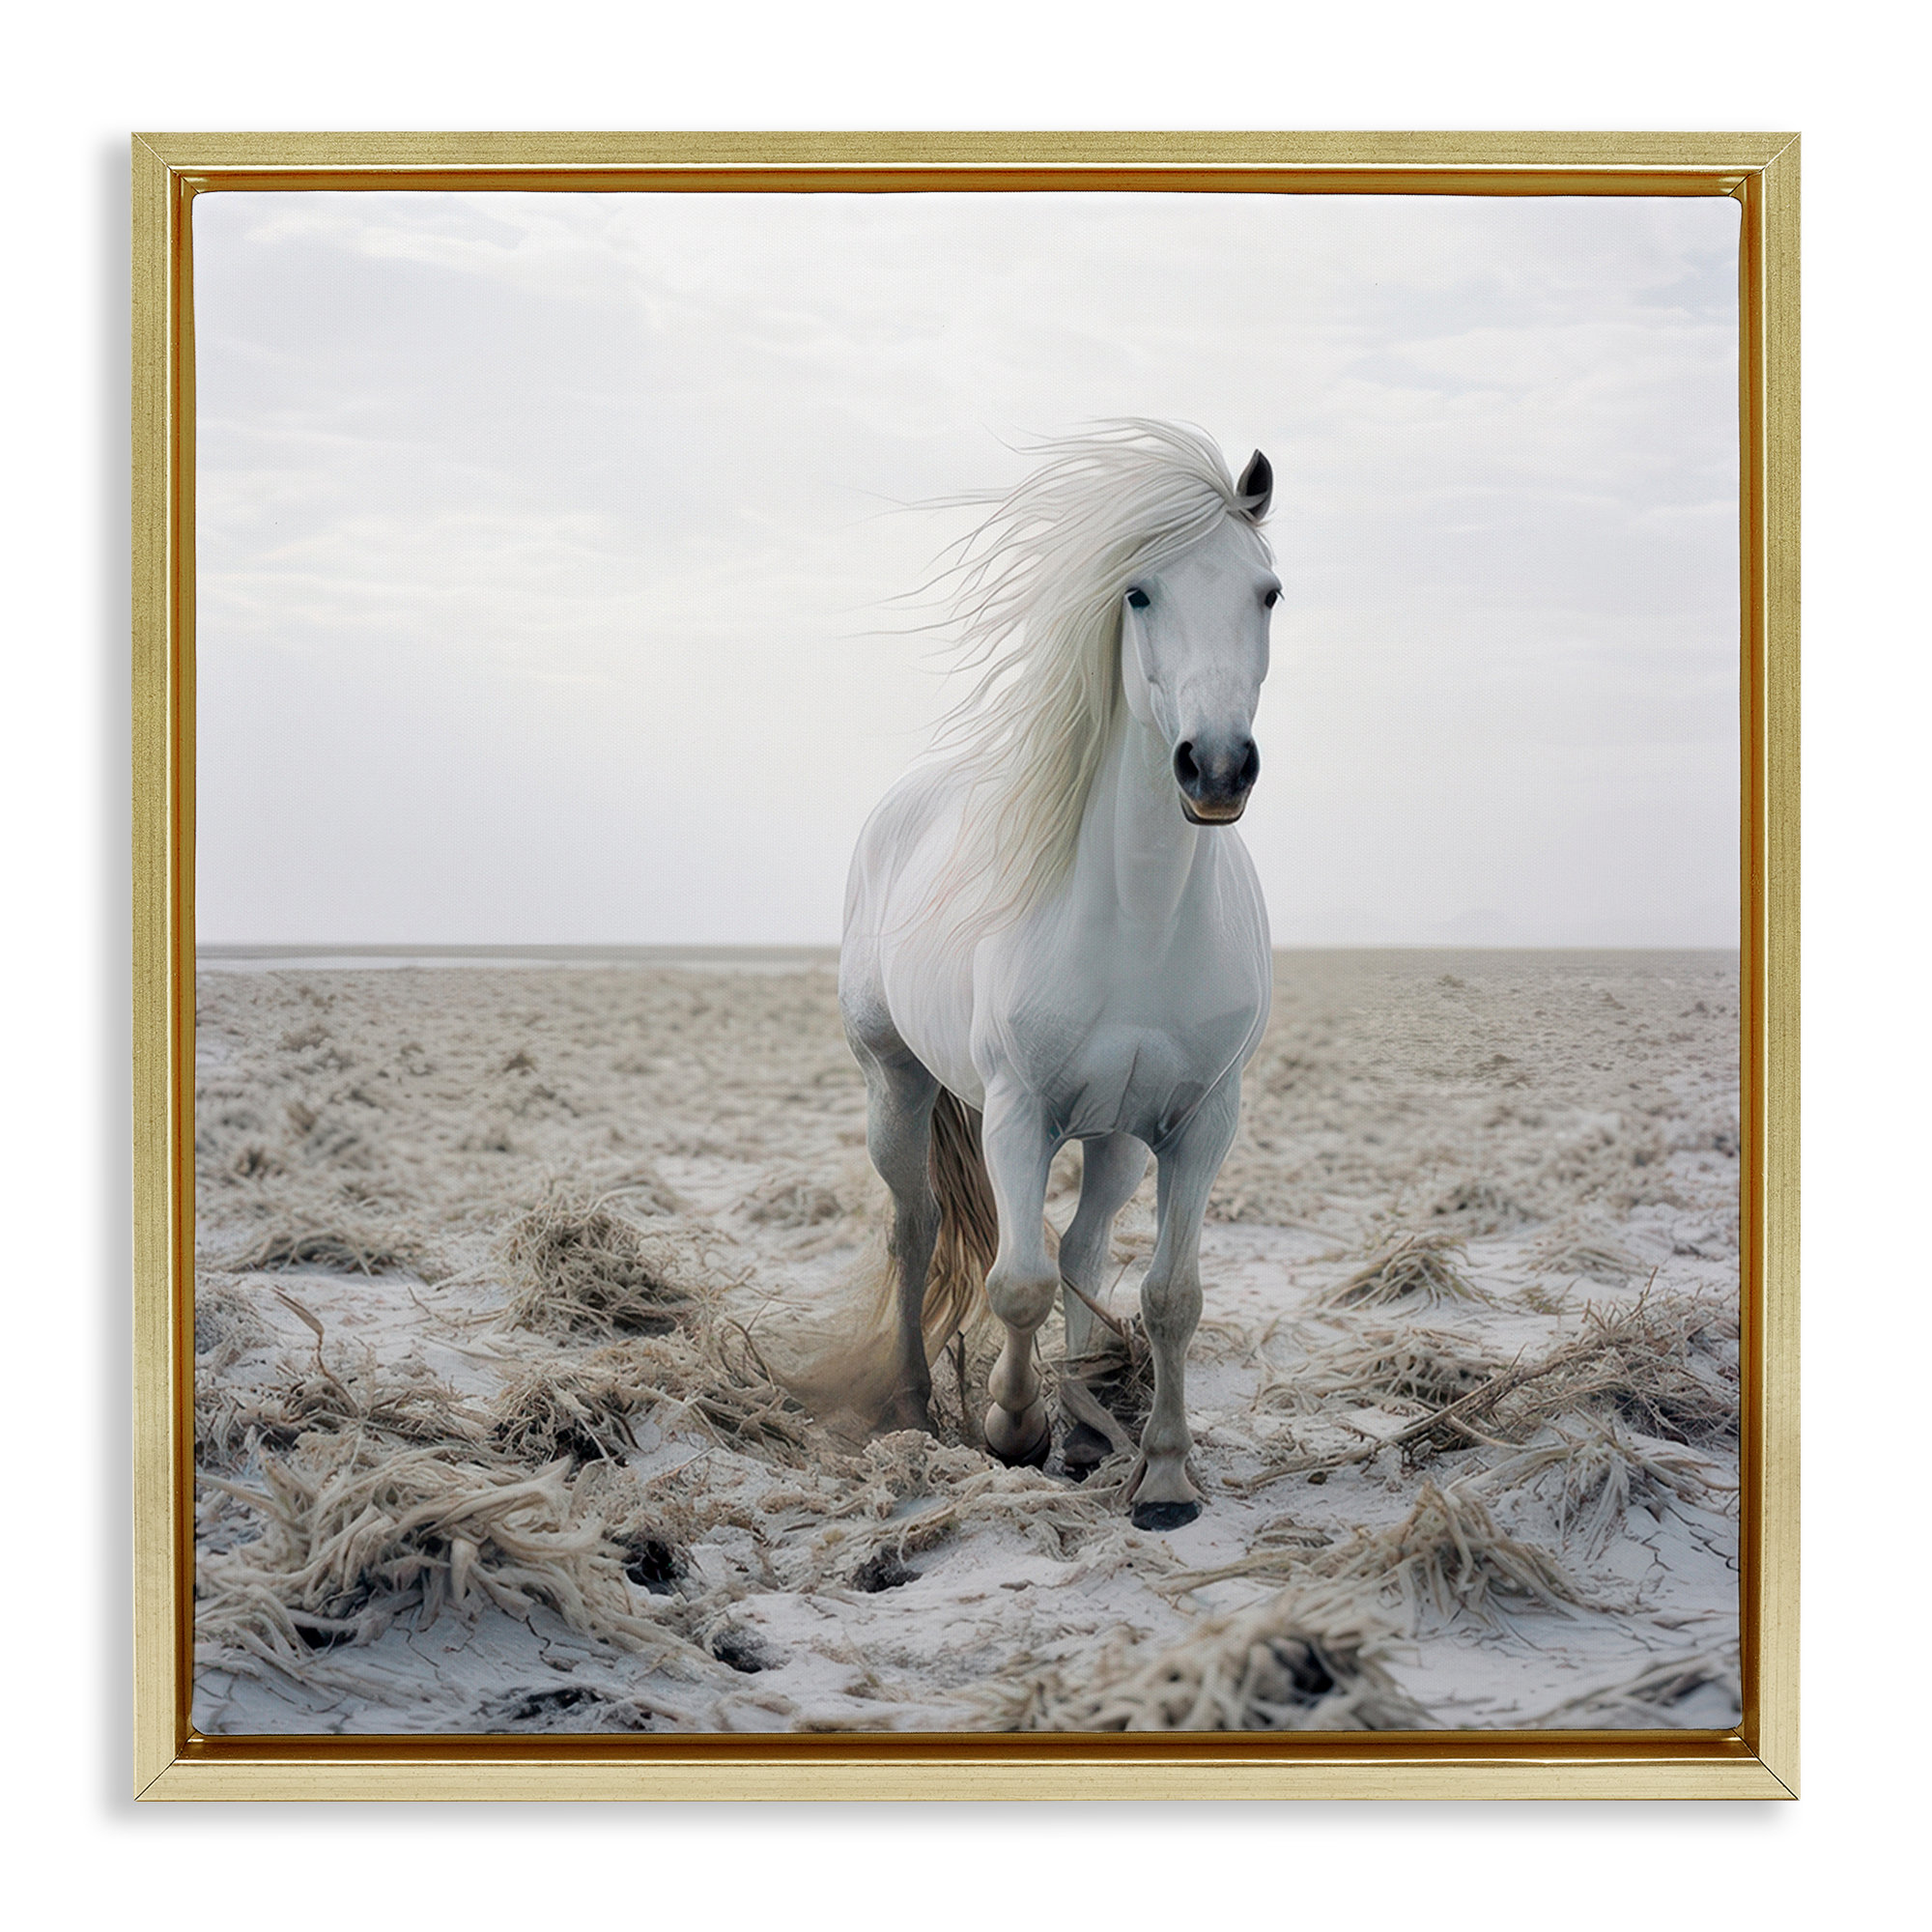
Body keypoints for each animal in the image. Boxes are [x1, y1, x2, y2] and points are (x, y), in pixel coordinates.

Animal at [836, 420, 1277, 1531]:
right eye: (1138, 593)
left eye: (1268, 592)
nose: (1215, 767)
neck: (1142, 917)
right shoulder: (1017, 1109)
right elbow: (1017, 1280)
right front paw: (1010, 1427)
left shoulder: (1200, 1121)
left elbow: (1169, 1295)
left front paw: (1161, 1473)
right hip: (896, 1083)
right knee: (918, 1231)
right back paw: (920, 1403)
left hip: (1116, 1132)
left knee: (1081, 1249)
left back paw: (1083, 1427)